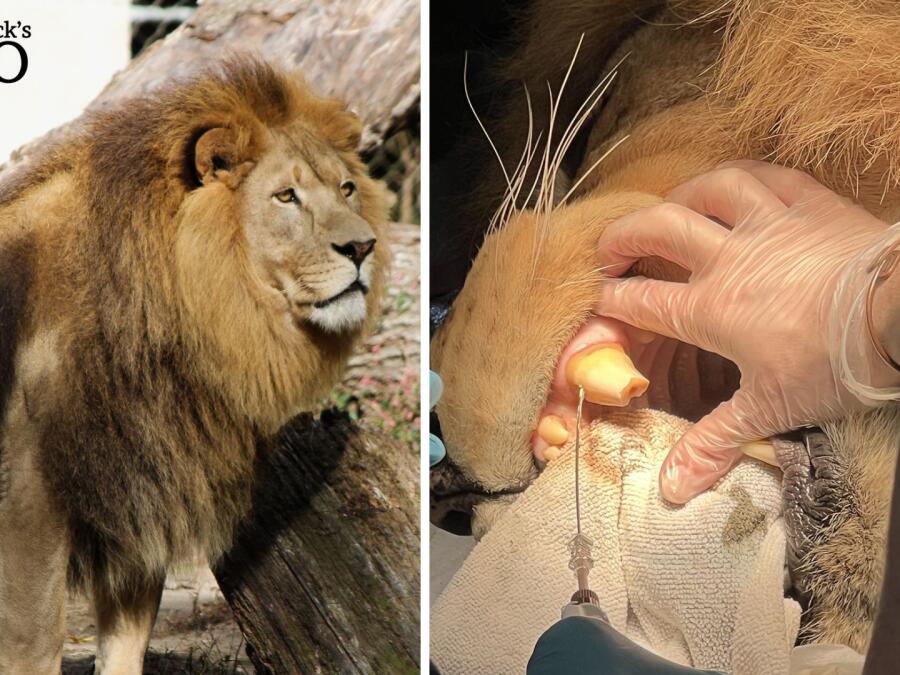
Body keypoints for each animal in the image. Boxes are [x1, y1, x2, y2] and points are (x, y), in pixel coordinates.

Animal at [0, 58, 389, 673]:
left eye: (347, 188)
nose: (363, 247)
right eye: (286, 197)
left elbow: (127, 648)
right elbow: (32, 647)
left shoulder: (143, 492)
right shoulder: (27, 500)